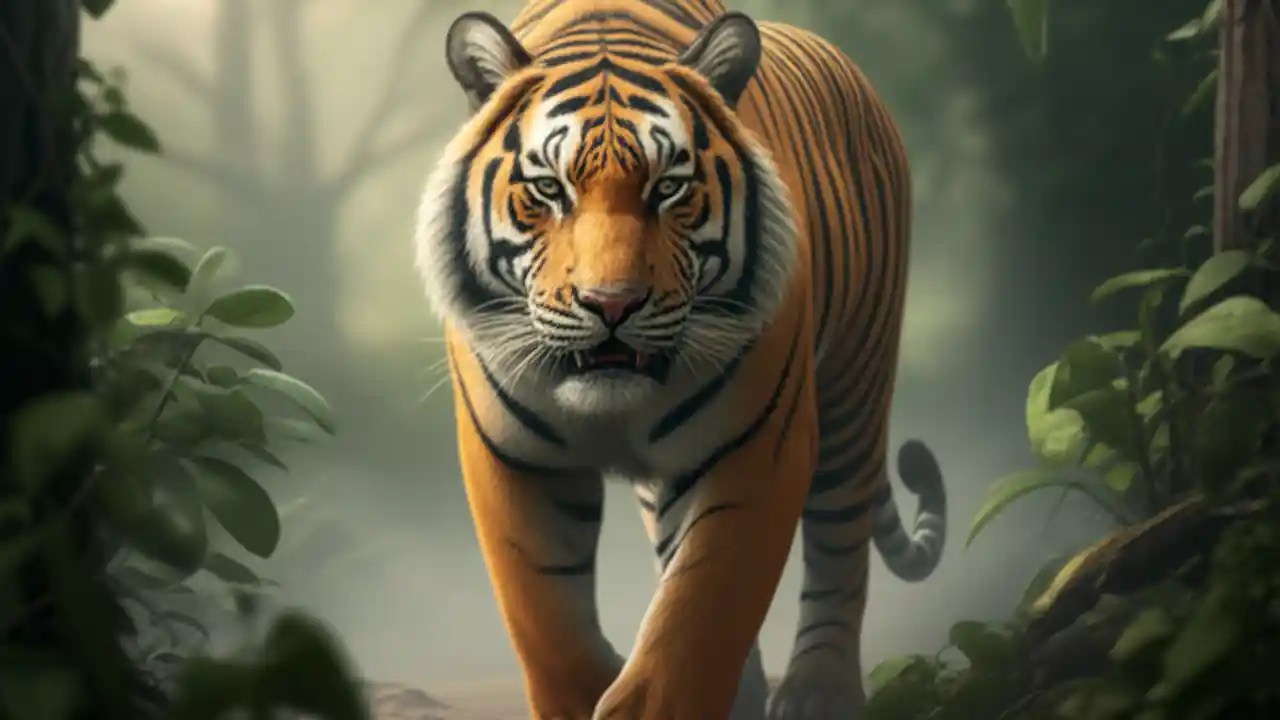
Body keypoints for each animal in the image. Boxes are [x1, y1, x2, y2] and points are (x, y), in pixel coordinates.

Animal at [412, 1, 947, 718]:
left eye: (668, 188)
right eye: (548, 188)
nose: (611, 303)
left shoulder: (759, 446)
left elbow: (697, 618)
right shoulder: (513, 461)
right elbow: (551, 629)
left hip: (853, 385)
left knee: (839, 537)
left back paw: (819, 690)